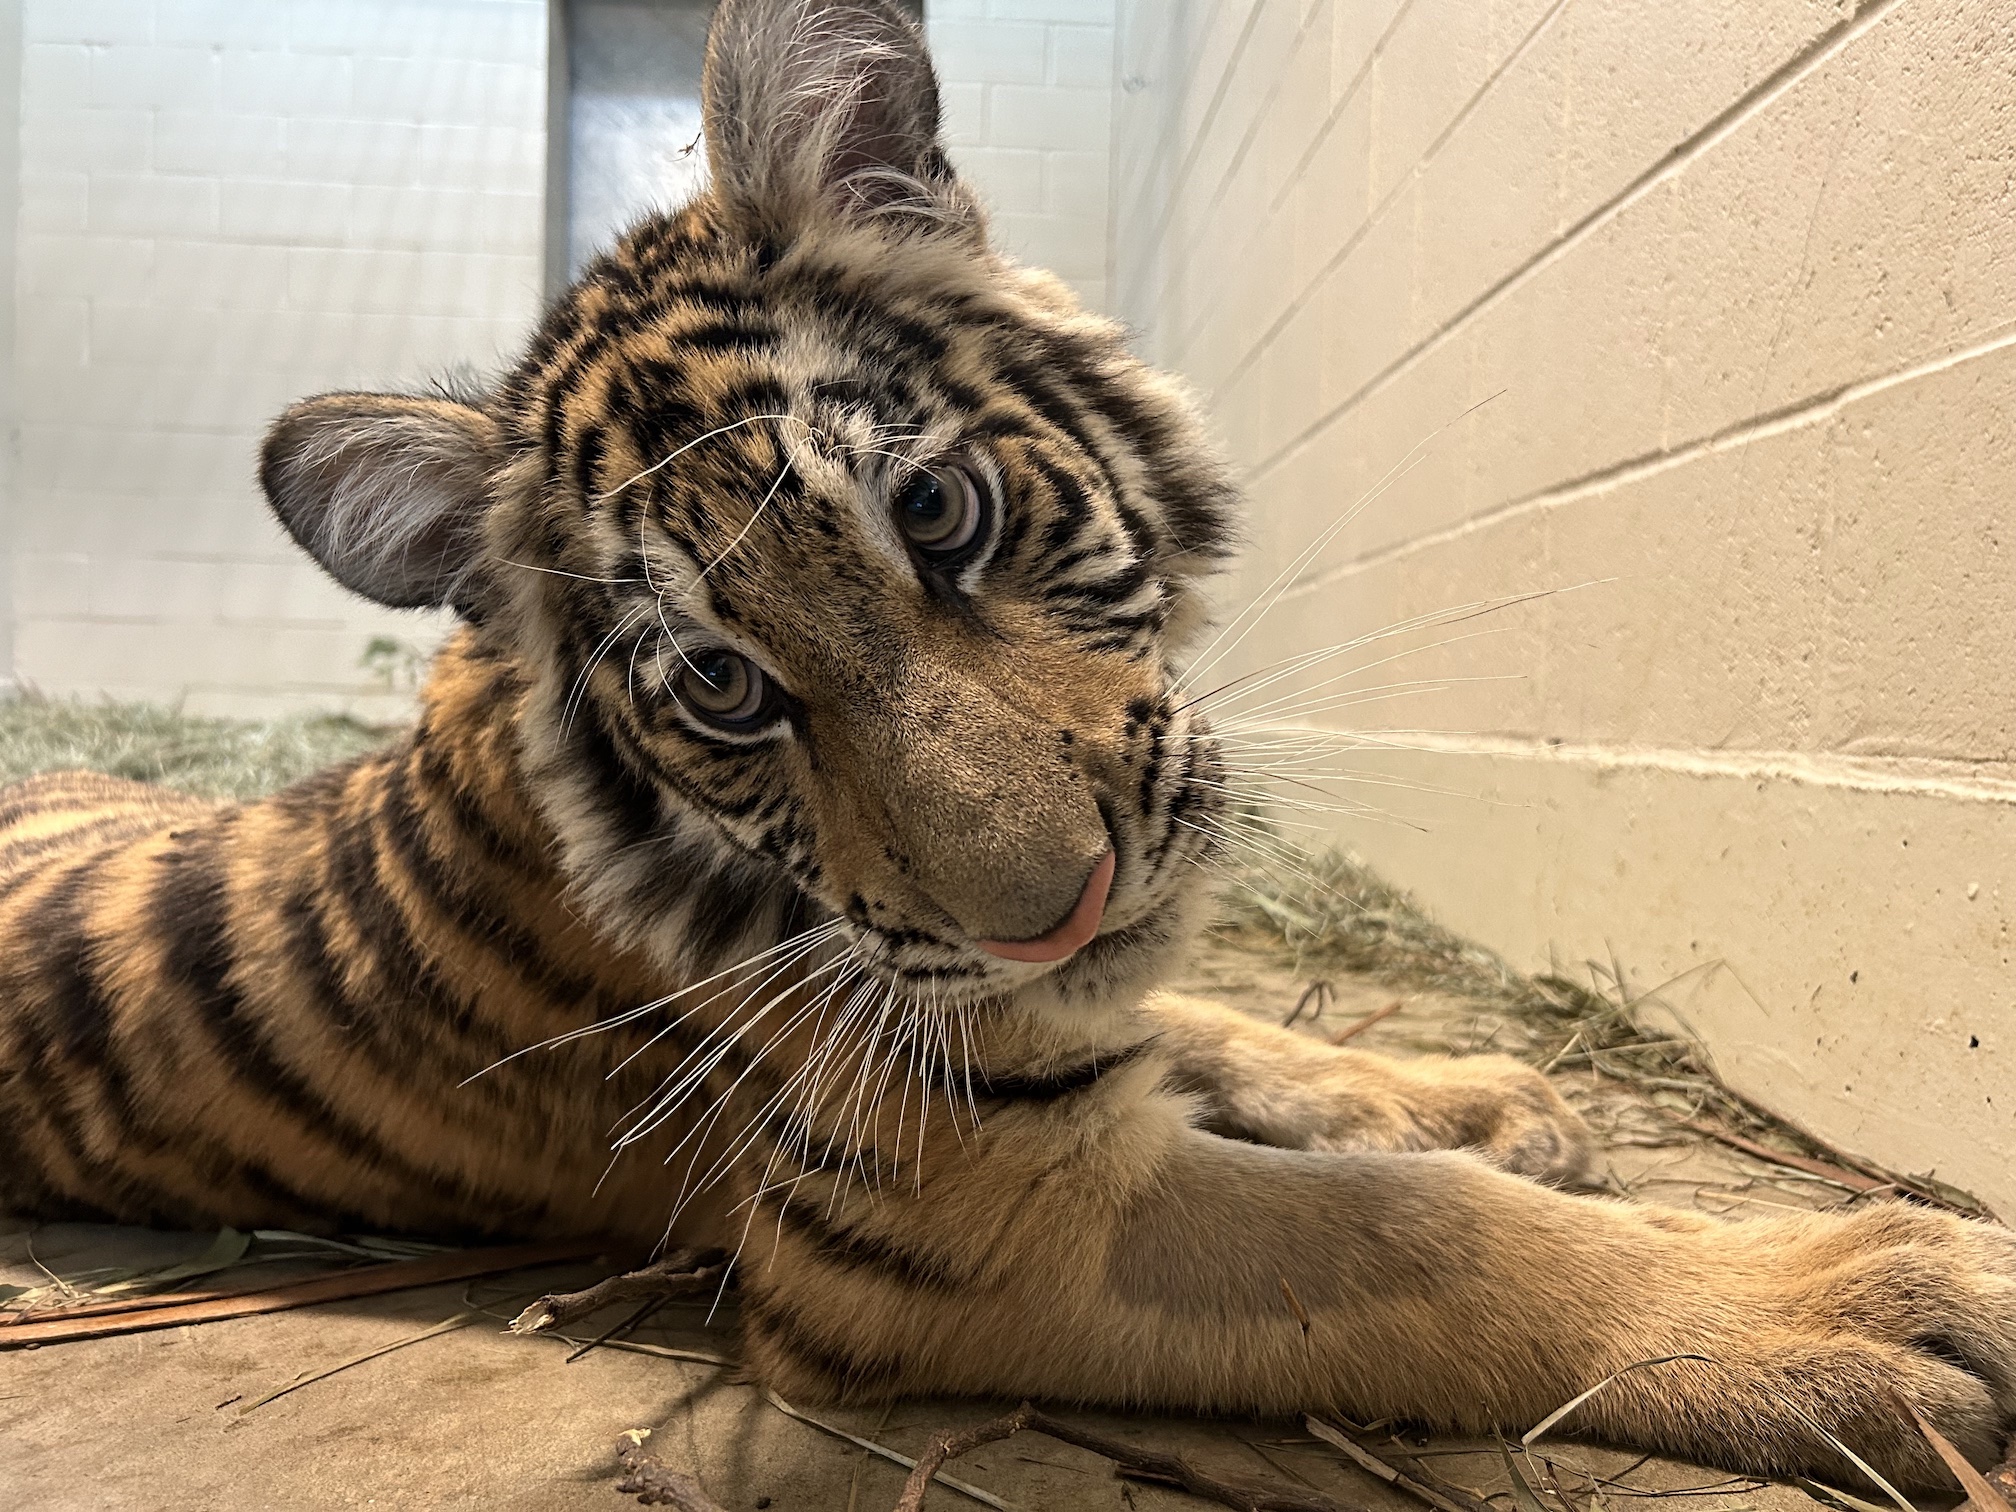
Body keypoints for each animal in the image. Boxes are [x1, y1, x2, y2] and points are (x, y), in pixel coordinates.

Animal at [1, 0, 2009, 1490]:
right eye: (719, 685)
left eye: (939, 510)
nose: (1055, 912)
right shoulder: (957, 1226)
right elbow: (1404, 1241)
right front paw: (1862, 1297)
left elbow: (1230, 1031)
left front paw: (1474, 1097)